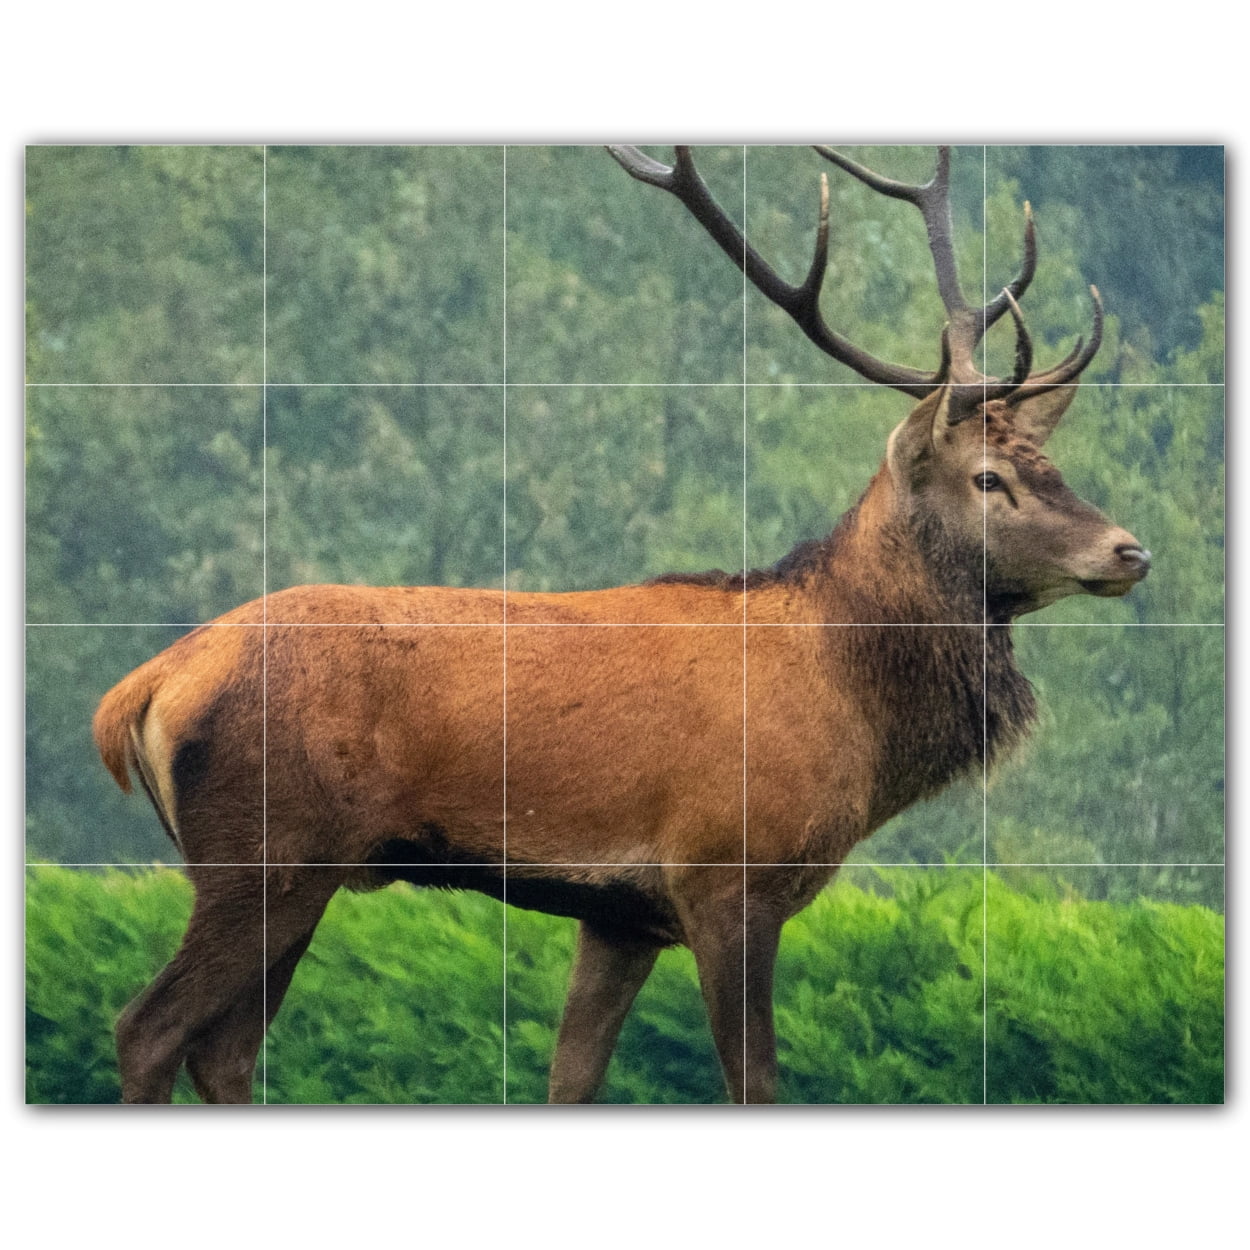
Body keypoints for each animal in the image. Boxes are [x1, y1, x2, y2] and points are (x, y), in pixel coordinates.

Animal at [92, 145, 1150, 1105]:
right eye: (989, 478)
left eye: (1052, 466)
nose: (1129, 550)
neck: (853, 710)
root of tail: (142, 690)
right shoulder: (726, 875)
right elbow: (755, 1084)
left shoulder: (622, 914)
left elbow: (573, 1079)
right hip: (265, 852)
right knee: (150, 1029)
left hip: (294, 869)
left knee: (225, 1052)